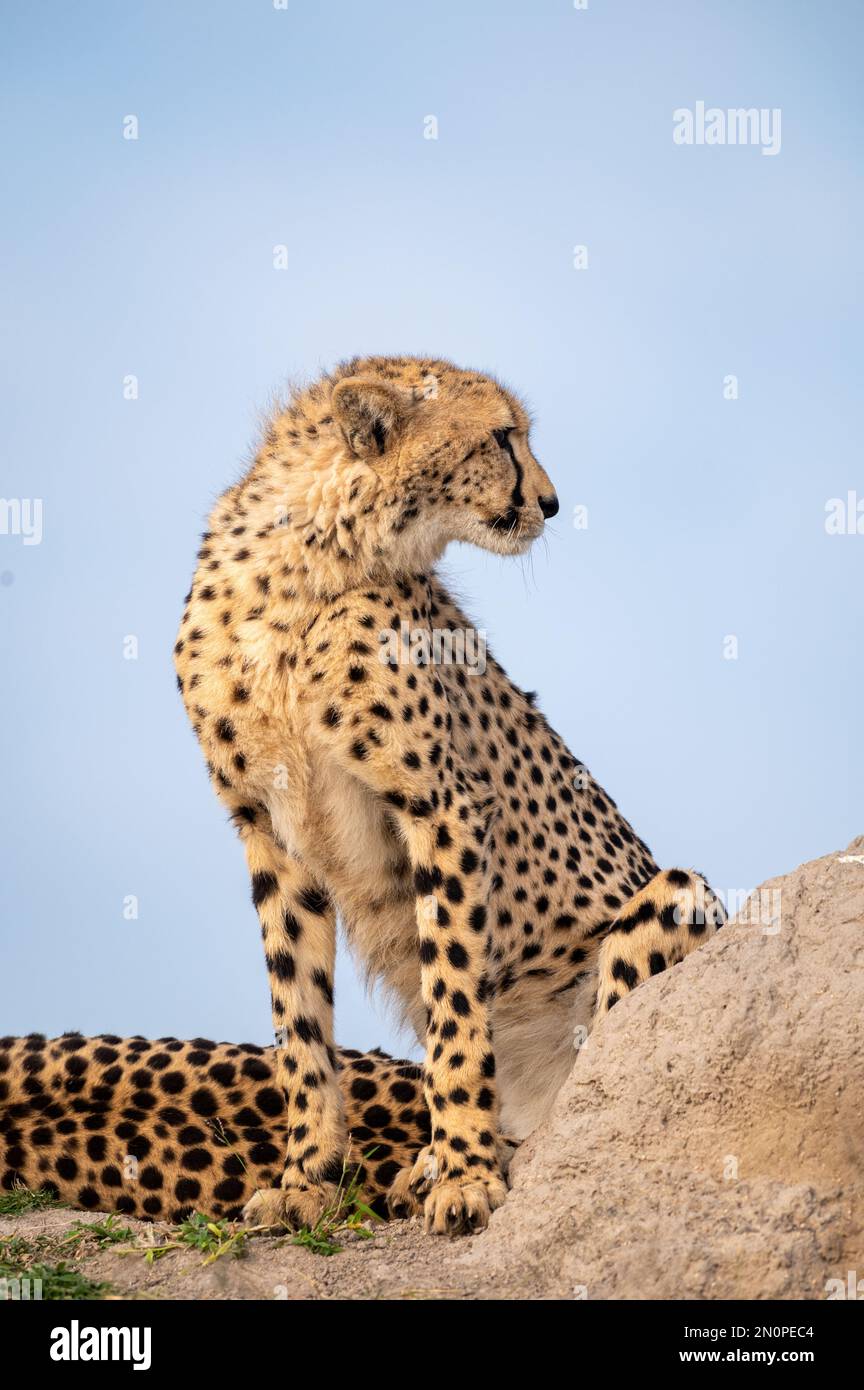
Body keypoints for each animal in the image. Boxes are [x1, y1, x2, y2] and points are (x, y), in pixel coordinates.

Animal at [172, 354, 726, 1237]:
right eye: (502, 437)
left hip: (680, 898)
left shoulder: (443, 805)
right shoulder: (268, 829)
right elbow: (299, 1021)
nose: (550, 502)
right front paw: (306, 1178)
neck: (310, 564)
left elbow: (456, 1007)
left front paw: (465, 1175)